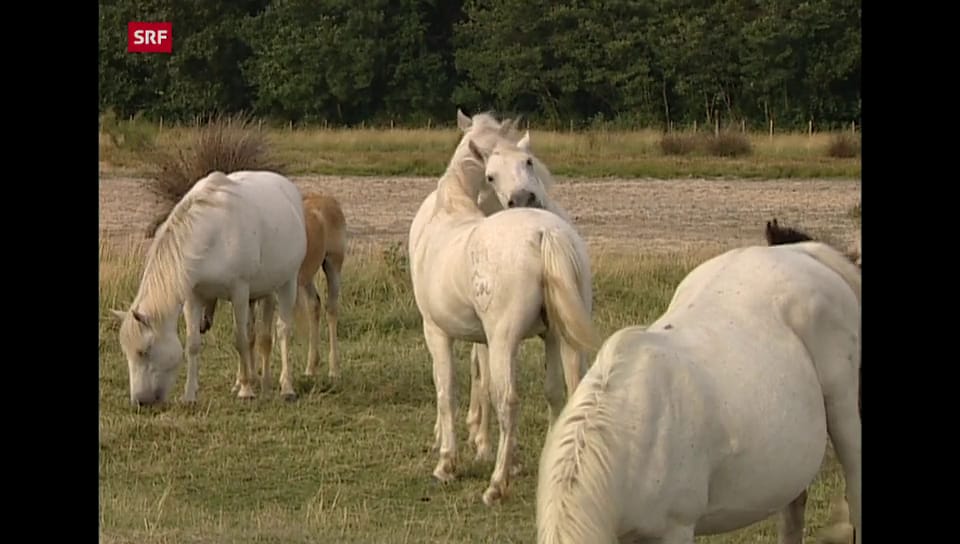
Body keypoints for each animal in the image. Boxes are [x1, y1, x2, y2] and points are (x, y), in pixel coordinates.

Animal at [110, 170, 307, 405]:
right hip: (260, 293)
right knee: (255, 335)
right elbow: (193, 343)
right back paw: (249, 381)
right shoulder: (193, 296)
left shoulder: (239, 292)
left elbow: (239, 340)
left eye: (144, 351)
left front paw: (246, 390)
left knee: (281, 331)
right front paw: (190, 395)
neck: (213, 232)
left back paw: (284, 386)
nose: (140, 401)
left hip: (287, 283)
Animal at [198, 189, 348, 392]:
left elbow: (265, 338)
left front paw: (266, 382)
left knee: (331, 310)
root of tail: (329, 201)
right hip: (305, 279)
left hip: (333, 265)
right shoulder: (248, 299)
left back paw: (334, 370)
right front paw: (244, 381)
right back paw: (310, 368)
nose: (202, 325)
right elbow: (248, 336)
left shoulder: (268, 297)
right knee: (314, 305)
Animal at [408, 119, 600, 506]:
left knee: (508, 400)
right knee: (563, 390)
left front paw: (447, 464)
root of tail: (544, 232)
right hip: (560, 339)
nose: (526, 197)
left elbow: (447, 390)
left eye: (528, 162)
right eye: (491, 175)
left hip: (504, 341)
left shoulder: (436, 332)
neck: (450, 210)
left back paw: (496, 484)